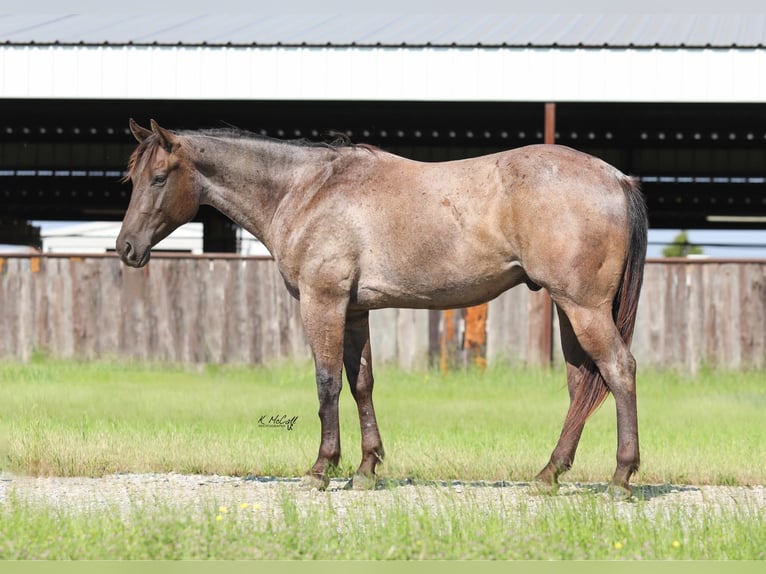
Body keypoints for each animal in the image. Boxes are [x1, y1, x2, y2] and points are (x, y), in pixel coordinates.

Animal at [117, 119, 648, 495]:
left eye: (158, 178)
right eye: (132, 177)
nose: (126, 247)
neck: (308, 190)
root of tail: (617, 176)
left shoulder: (323, 303)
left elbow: (327, 383)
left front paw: (321, 468)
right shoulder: (354, 311)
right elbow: (362, 383)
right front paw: (367, 467)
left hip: (582, 307)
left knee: (619, 369)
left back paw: (621, 477)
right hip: (568, 308)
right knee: (582, 384)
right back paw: (549, 474)